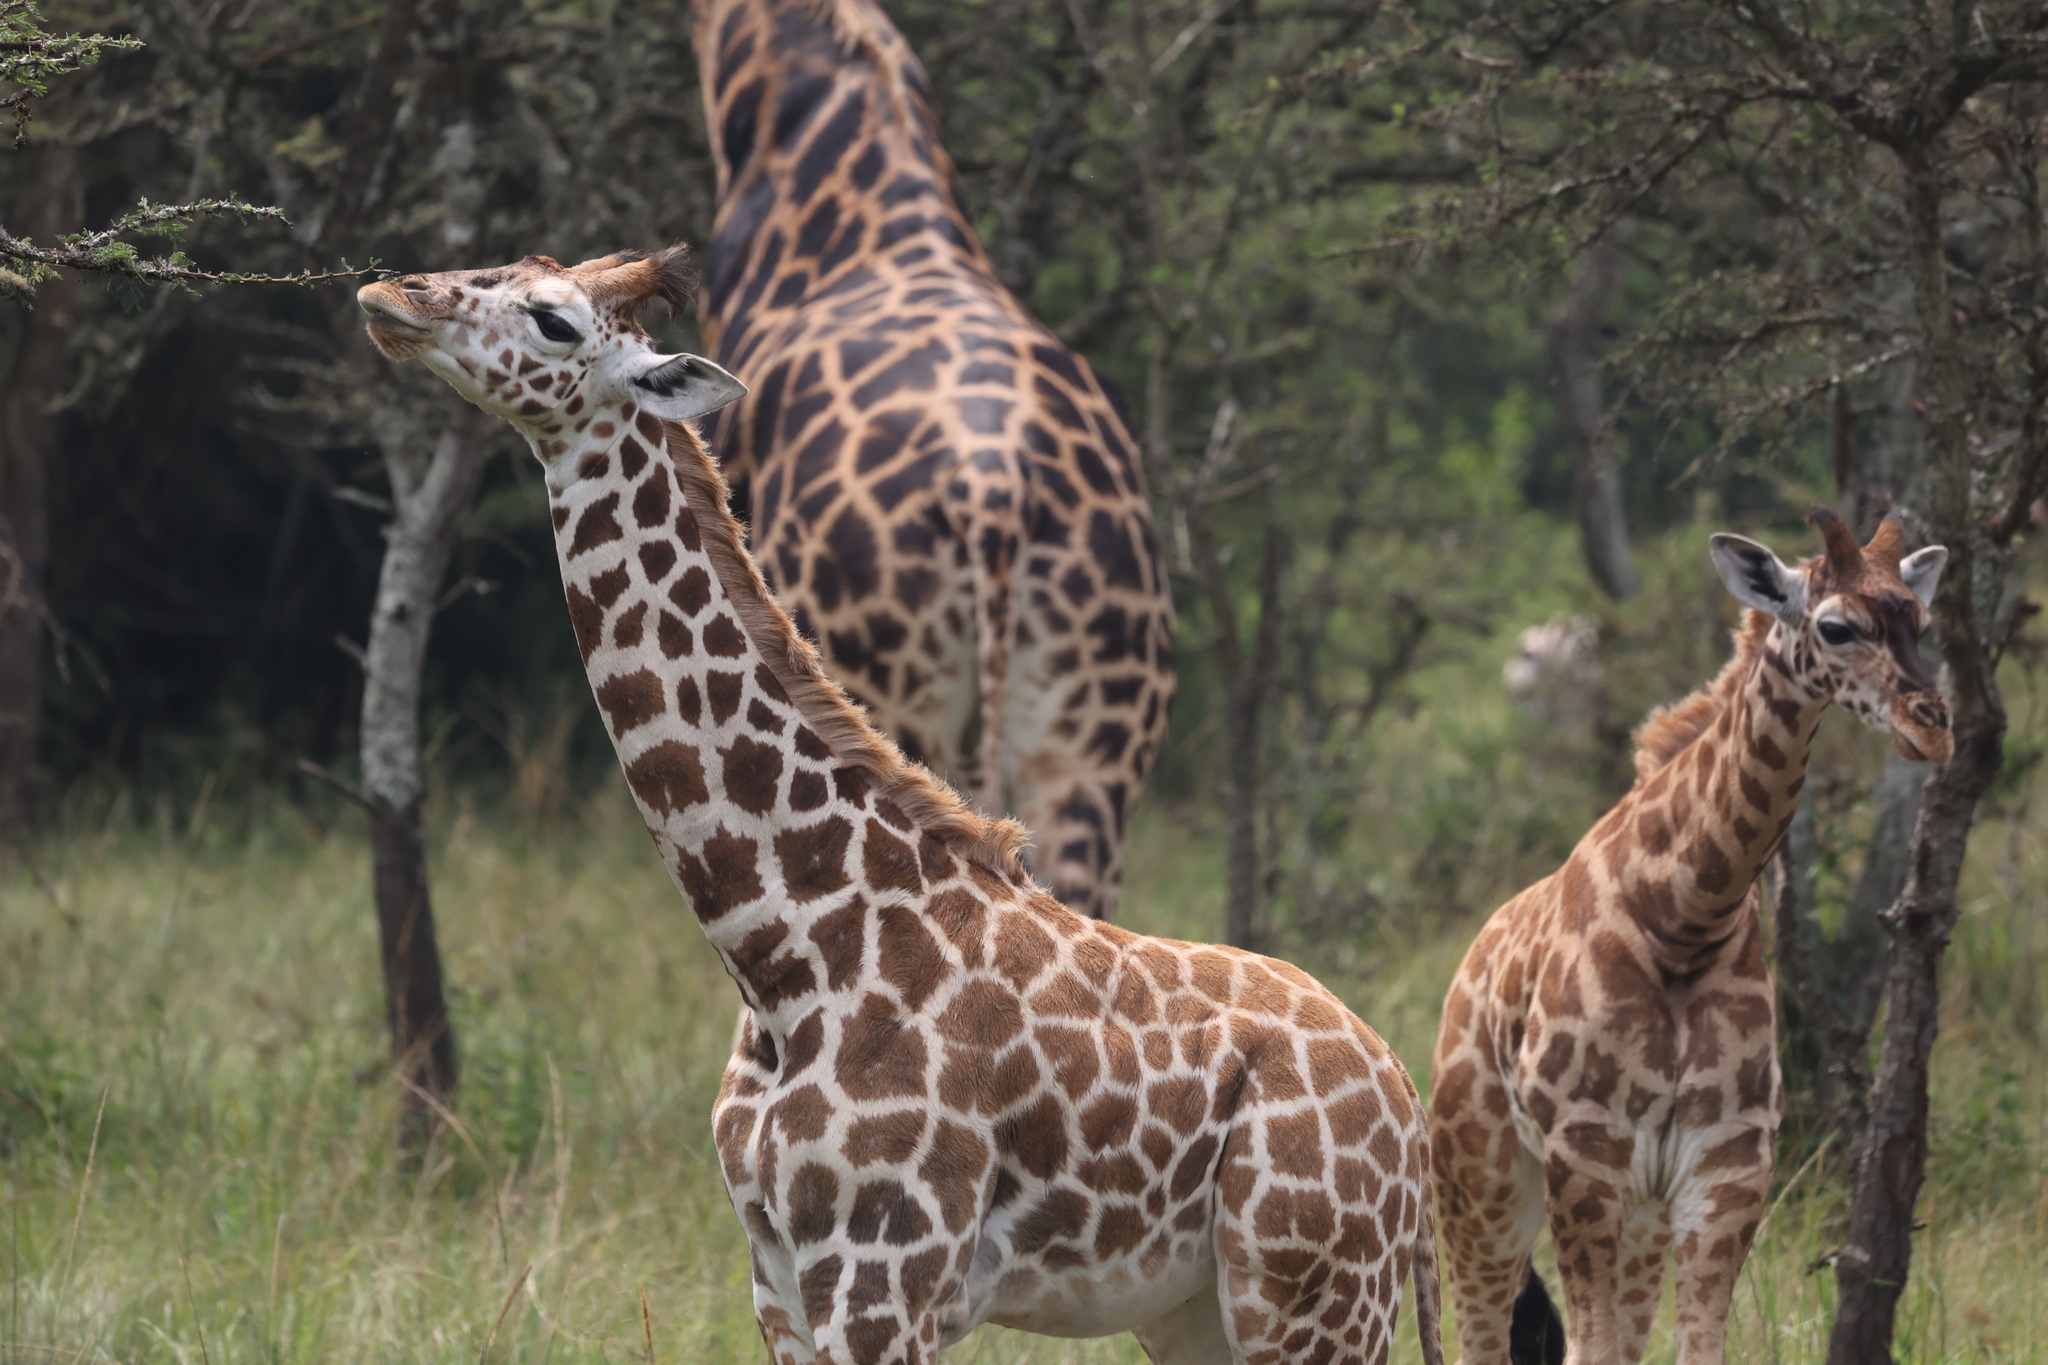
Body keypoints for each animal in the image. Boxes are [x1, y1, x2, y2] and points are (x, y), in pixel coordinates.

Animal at [357, 248, 1441, 1365]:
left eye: (552, 319)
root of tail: (1407, 1109)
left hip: (1310, 1295)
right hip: (1196, 1311)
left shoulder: (885, 1271)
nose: (394, 296)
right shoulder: (778, 1278)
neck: (782, 948)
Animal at [1428, 509, 1951, 1365]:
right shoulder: (1586, 1151)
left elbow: (1695, 1347)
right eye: (1835, 626)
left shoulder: (1726, 1166)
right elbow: (1588, 1348)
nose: (1931, 728)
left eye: (1922, 620)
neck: (1684, 916)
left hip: (1637, 1215)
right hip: (1482, 1179)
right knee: (1478, 1331)